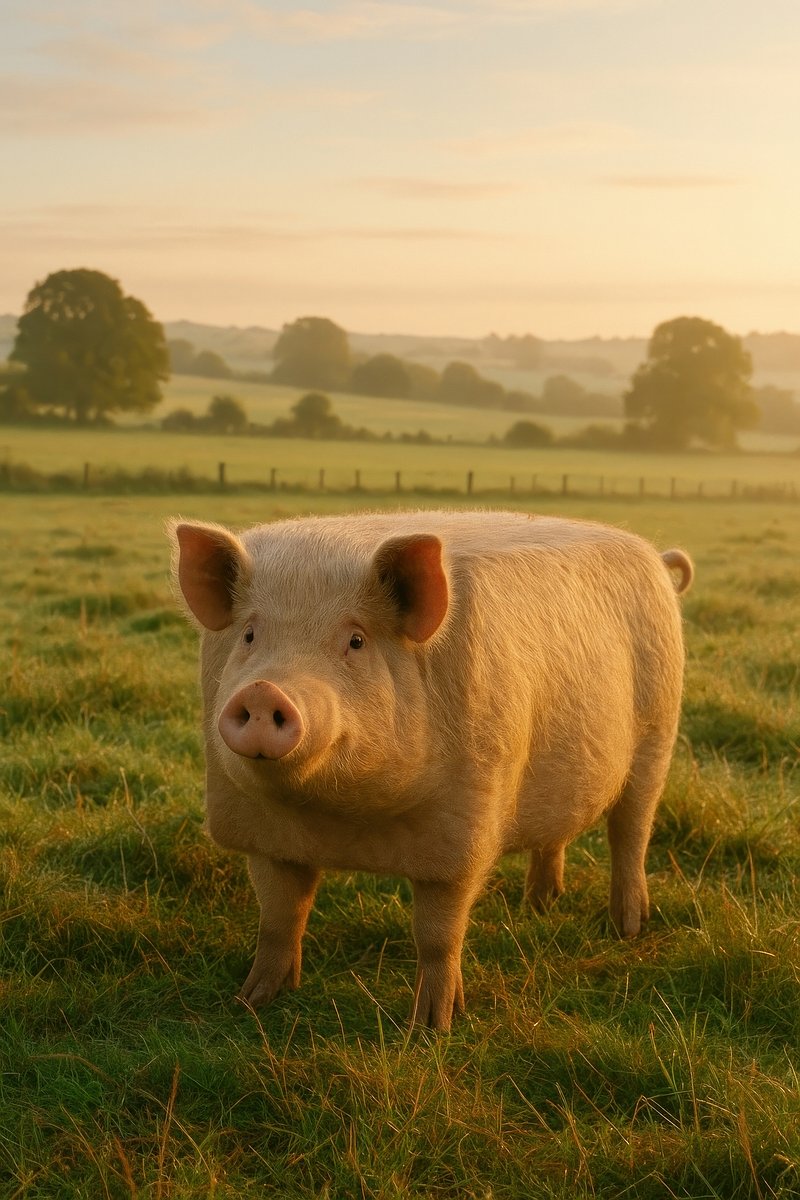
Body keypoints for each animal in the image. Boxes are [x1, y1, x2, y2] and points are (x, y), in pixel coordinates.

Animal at [170, 510, 693, 1030]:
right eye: (249, 635)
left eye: (356, 640)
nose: (263, 691)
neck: (346, 824)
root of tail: (655, 556)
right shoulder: (262, 833)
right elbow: (279, 917)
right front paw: (251, 1001)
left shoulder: (463, 826)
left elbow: (438, 933)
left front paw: (431, 1027)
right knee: (555, 835)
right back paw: (540, 904)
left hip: (658, 734)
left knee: (631, 832)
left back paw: (627, 928)